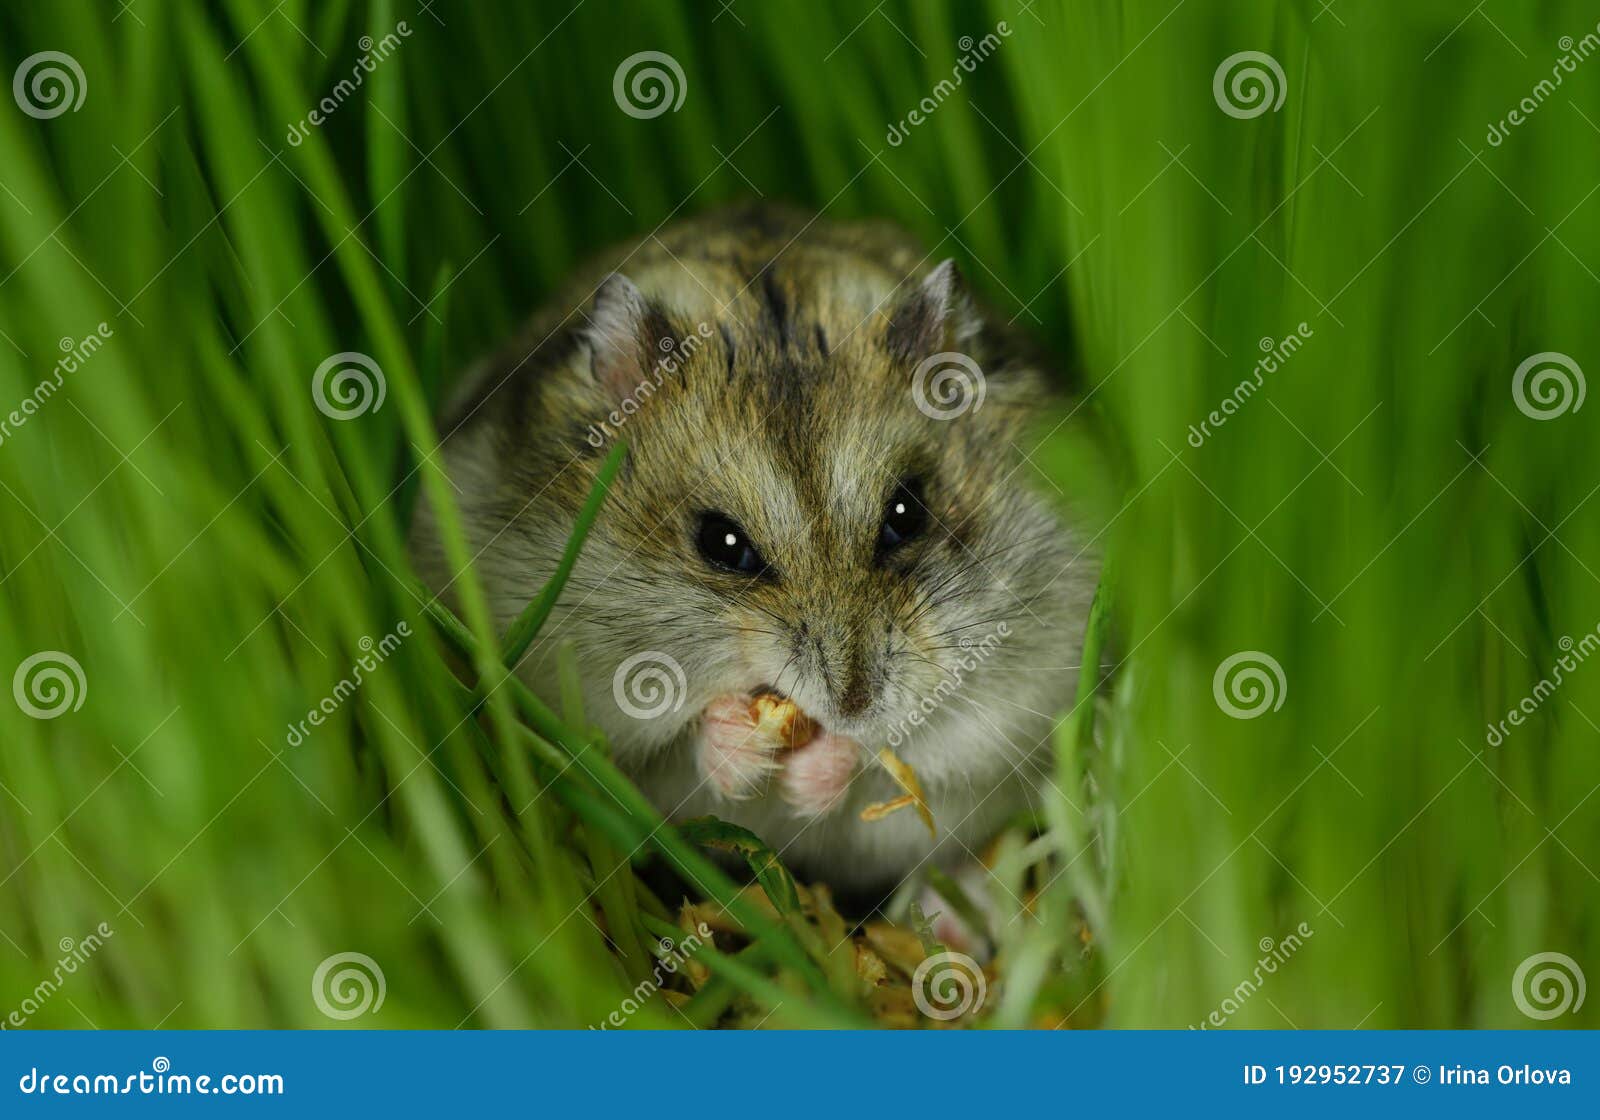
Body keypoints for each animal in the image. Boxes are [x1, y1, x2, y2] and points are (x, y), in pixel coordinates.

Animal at [410, 203, 1097, 893]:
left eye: (907, 514)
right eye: (721, 543)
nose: (853, 706)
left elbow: (913, 748)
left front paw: (817, 773)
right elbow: (675, 740)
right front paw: (742, 741)